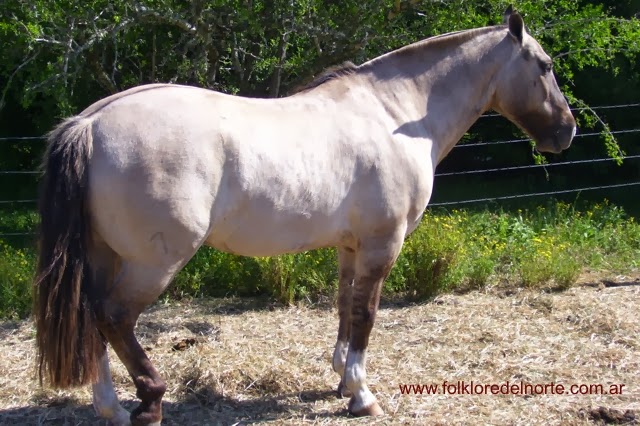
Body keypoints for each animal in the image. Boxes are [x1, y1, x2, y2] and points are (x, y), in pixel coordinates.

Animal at [33, 7, 575, 425]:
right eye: (545, 65)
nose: (566, 131)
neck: (394, 115)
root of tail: (91, 123)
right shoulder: (382, 244)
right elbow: (366, 315)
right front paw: (362, 394)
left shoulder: (350, 245)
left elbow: (343, 307)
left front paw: (341, 381)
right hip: (153, 263)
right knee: (115, 317)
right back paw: (150, 400)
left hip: (104, 255)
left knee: (94, 318)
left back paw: (110, 407)